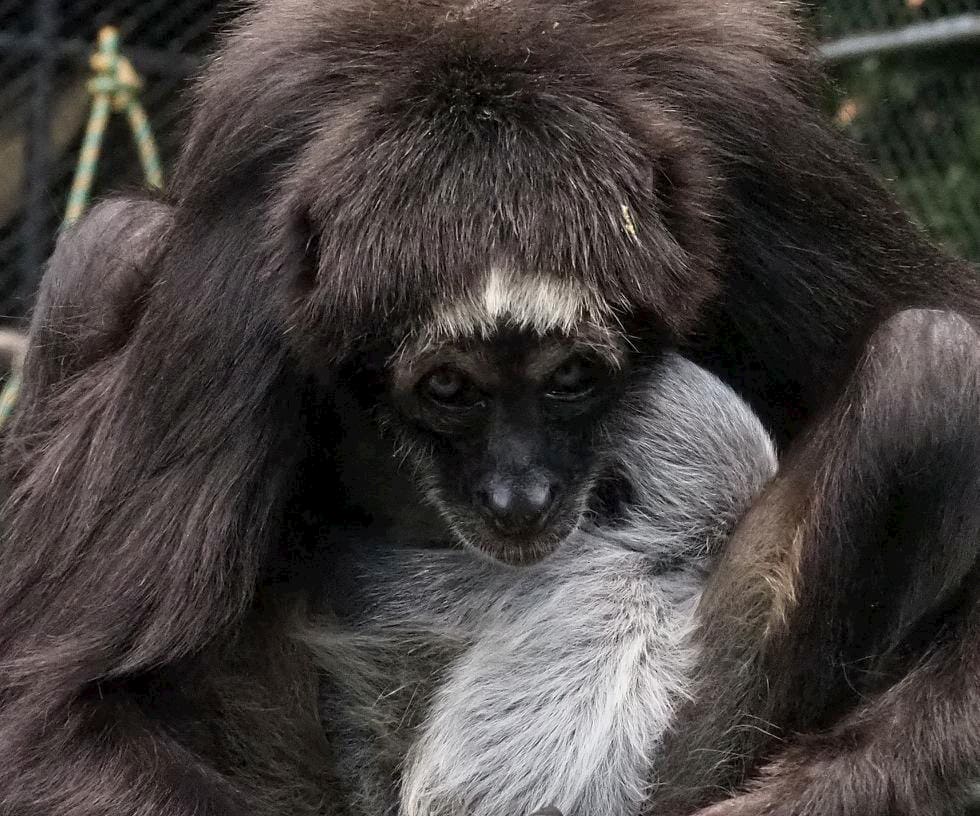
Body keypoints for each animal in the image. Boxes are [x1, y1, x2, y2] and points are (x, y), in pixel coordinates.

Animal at [1, 1, 979, 815]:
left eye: (573, 377)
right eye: (448, 389)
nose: (520, 497)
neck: (484, 32)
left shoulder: (749, 140)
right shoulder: (255, 203)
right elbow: (40, 711)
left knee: (930, 367)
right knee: (114, 241)